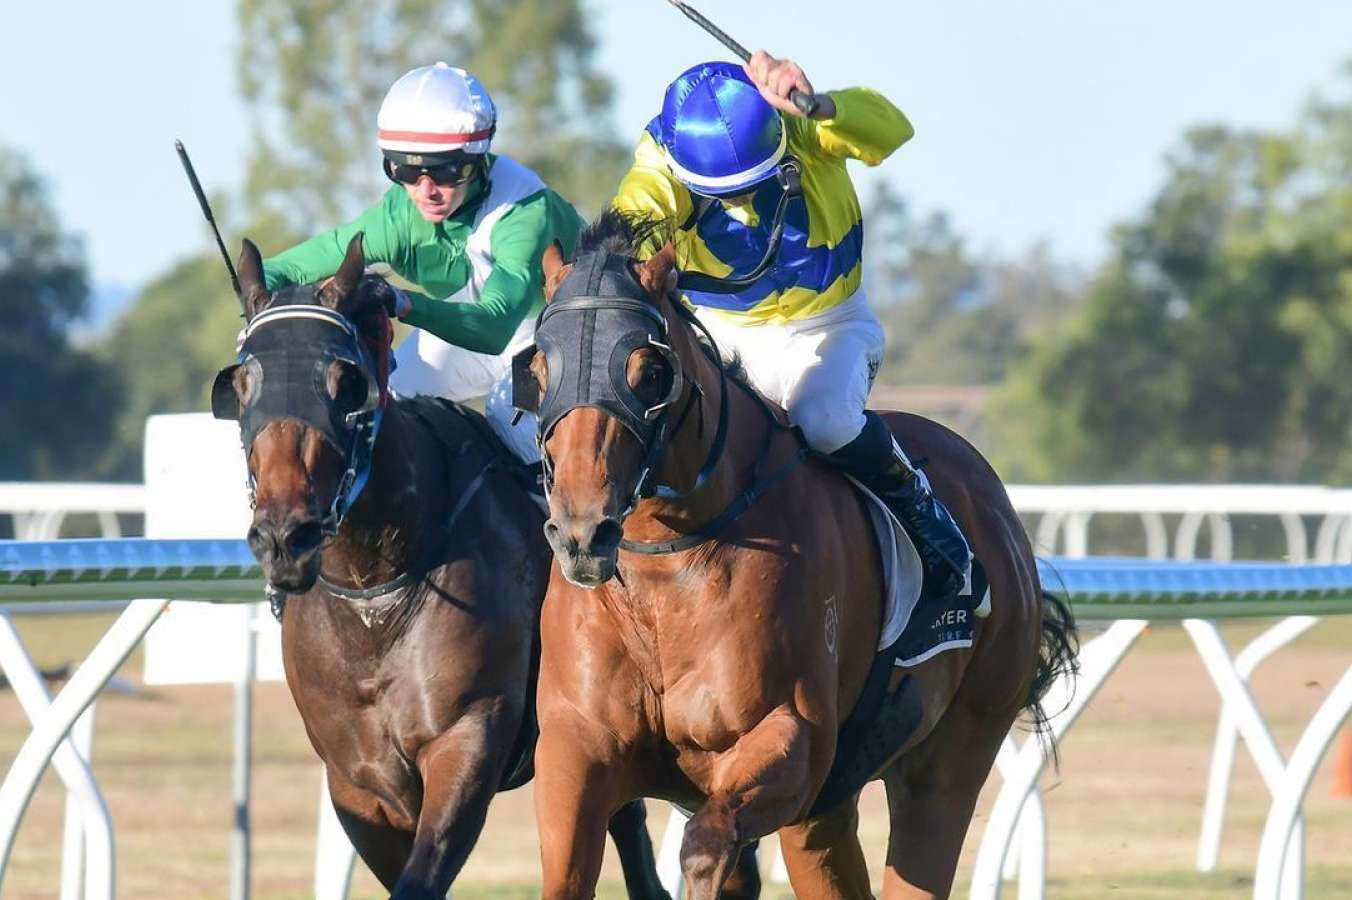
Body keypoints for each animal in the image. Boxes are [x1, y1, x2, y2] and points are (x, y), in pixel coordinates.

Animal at [209, 233, 672, 899]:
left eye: (345, 381)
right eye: (244, 382)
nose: (283, 537)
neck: (378, 587)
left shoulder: (468, 738)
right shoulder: (357, 782)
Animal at [513, 212, 1078, 899]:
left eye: (648, 371)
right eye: (539, 369)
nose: (581, 532)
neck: (663, 582)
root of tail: (994, 502)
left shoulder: (792, 741)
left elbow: (705, 845)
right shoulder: (576, 752)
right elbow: (570, 867)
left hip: (950, 758)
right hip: (827, 808)